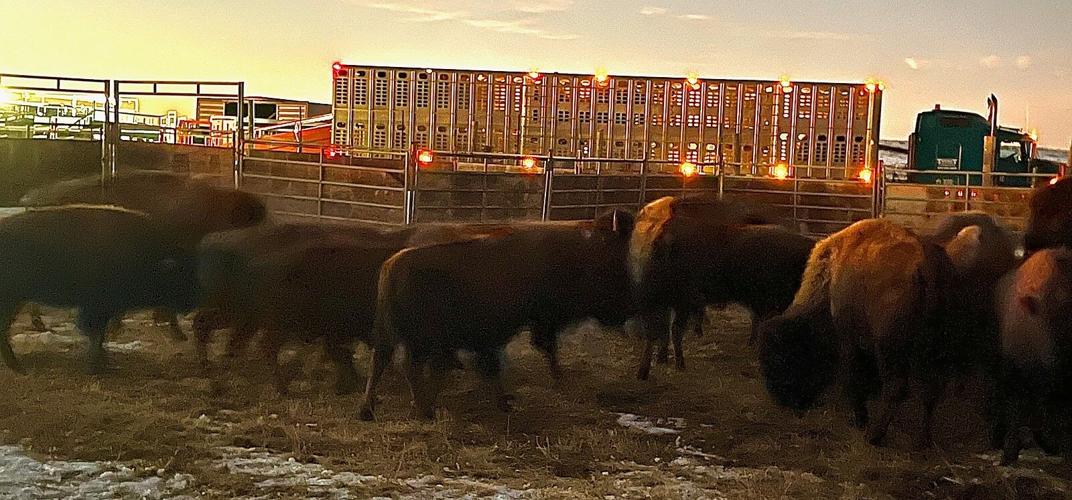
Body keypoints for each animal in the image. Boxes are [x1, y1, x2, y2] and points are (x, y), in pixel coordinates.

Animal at [0, 205, 198, 374]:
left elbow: (100, 335)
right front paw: (96, 367)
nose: (190, 304)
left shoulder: (105, 309)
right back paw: (18, 367)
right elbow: (95, 334)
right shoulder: (96, 308)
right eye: (180, 275)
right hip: (12, 299)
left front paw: (103, 362)